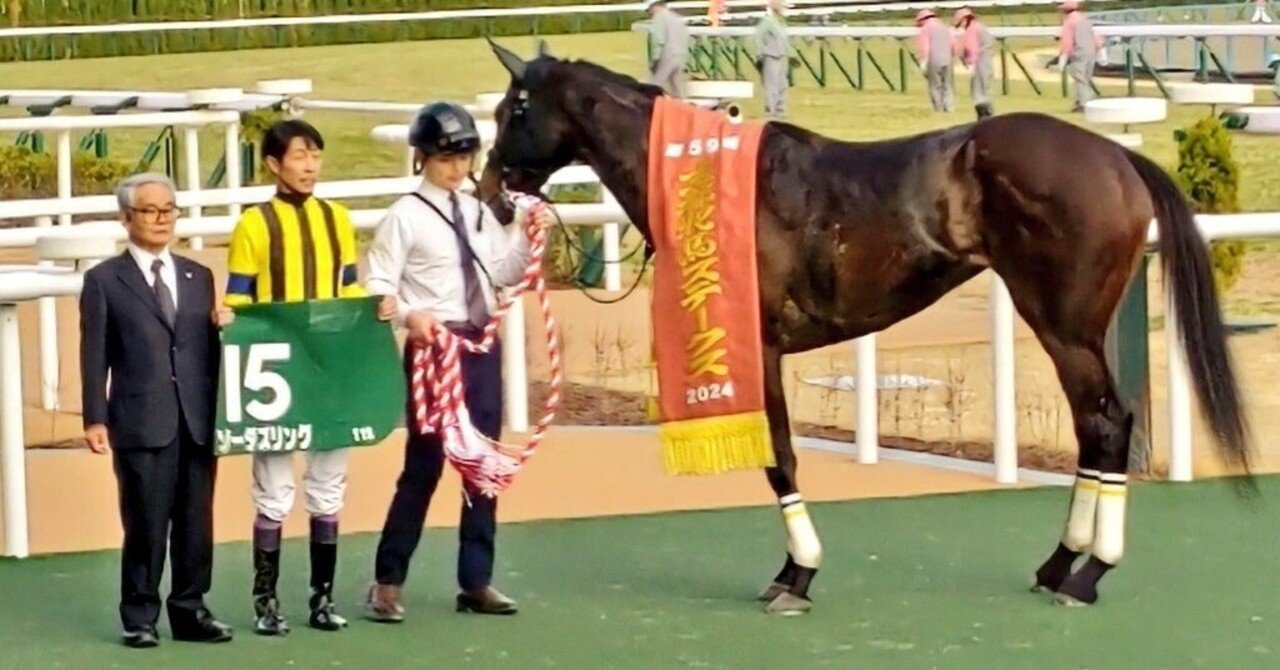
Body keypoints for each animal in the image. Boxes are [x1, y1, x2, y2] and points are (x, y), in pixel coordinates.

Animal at [476, 40, 1252, 614]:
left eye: (514, 109)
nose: (488, 189)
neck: (704, 180)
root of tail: (1116, 155)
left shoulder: (760, 344)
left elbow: (779, 456)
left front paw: (797, 573)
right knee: (1094, 427)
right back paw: (1060, 564)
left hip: (1064, 323)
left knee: (1108, 423)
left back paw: (1088, 574)